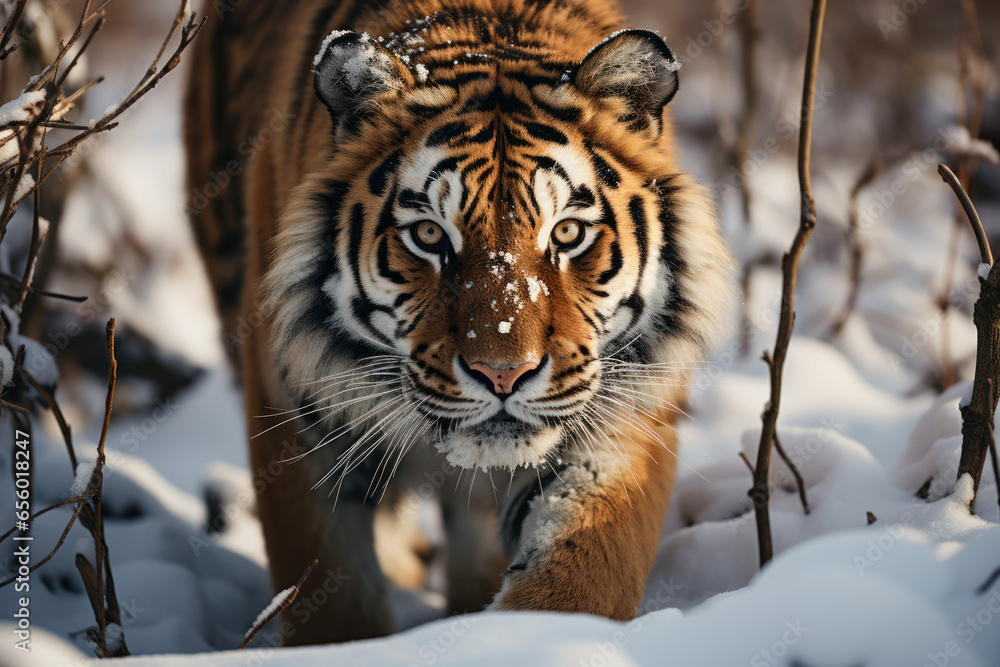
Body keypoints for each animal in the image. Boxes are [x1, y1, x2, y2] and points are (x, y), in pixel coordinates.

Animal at [184, 0, 733, 646]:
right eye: (428, 235)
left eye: (568, 233)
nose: (503, 375)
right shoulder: (295, 420)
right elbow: (333, 606)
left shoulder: (623, 413)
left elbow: (585, 573)